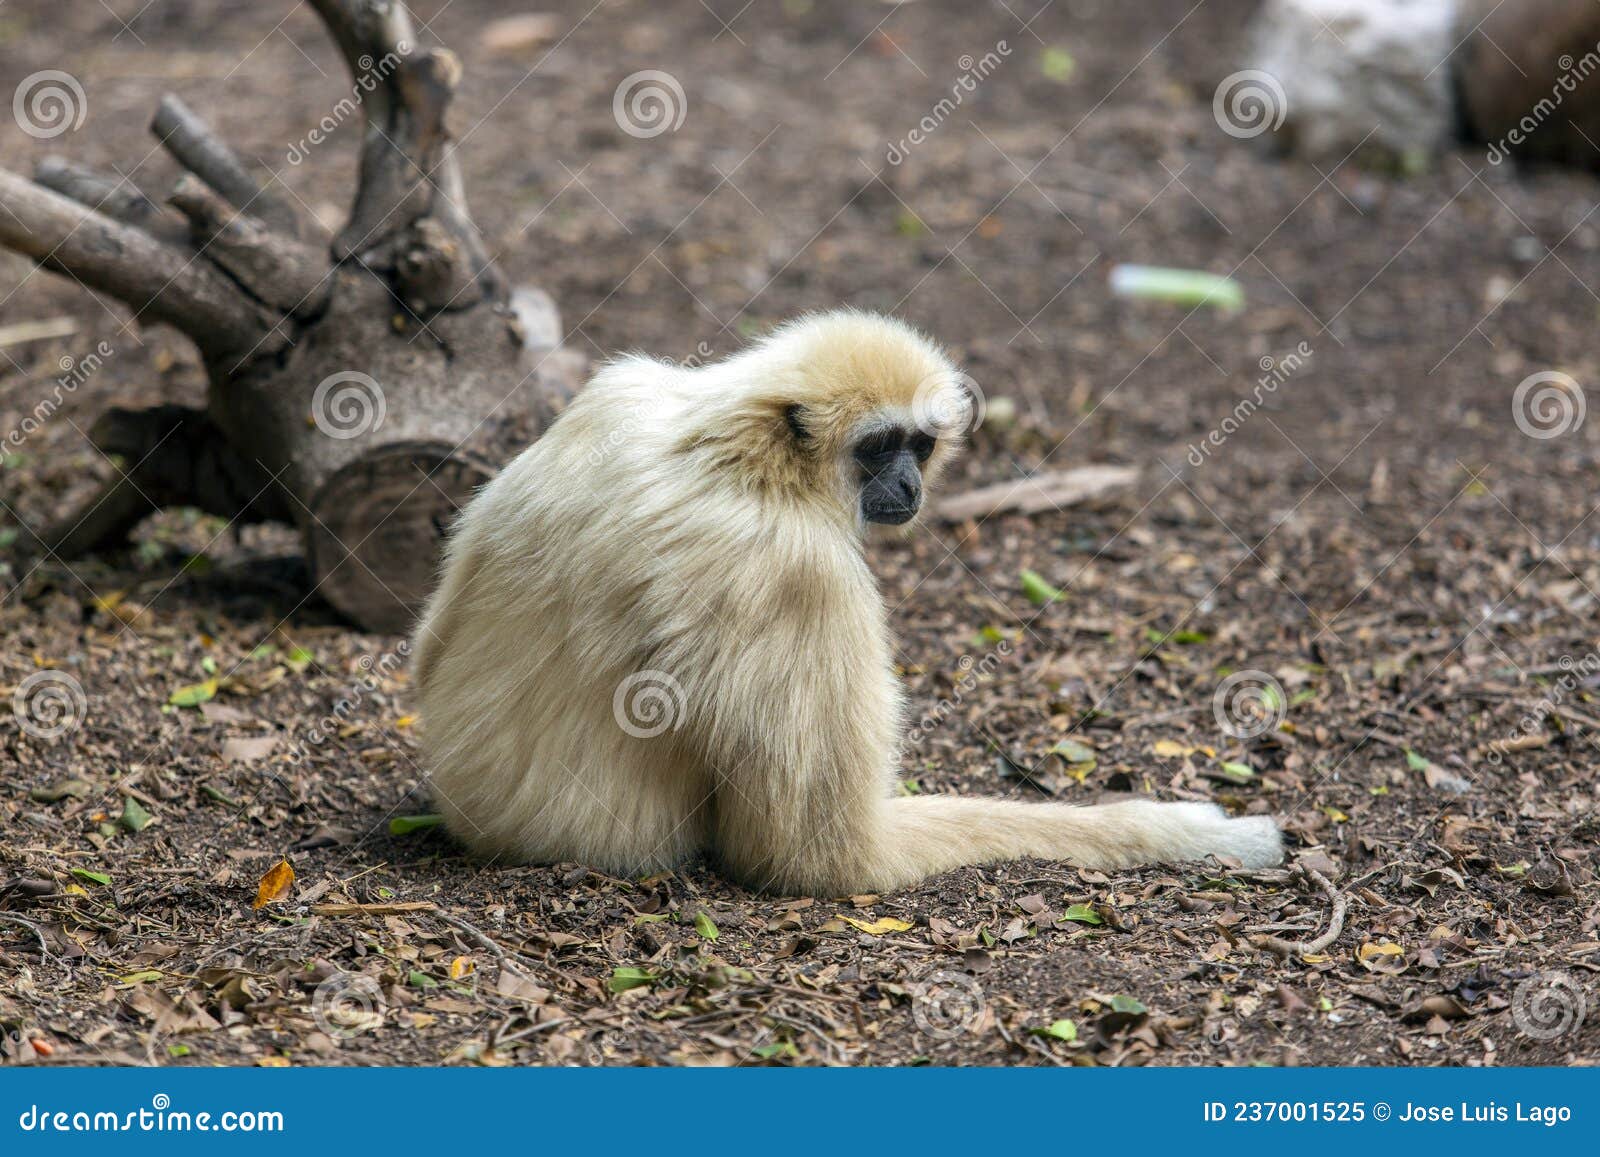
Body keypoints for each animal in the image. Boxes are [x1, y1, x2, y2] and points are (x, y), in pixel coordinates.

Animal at [410, 310, 1282, 895]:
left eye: (919, 444)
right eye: (877, 447)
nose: (911, 483)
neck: (730, 447)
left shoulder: (616, 392)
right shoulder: (796, 573)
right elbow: (822, 854)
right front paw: (1178, 830)